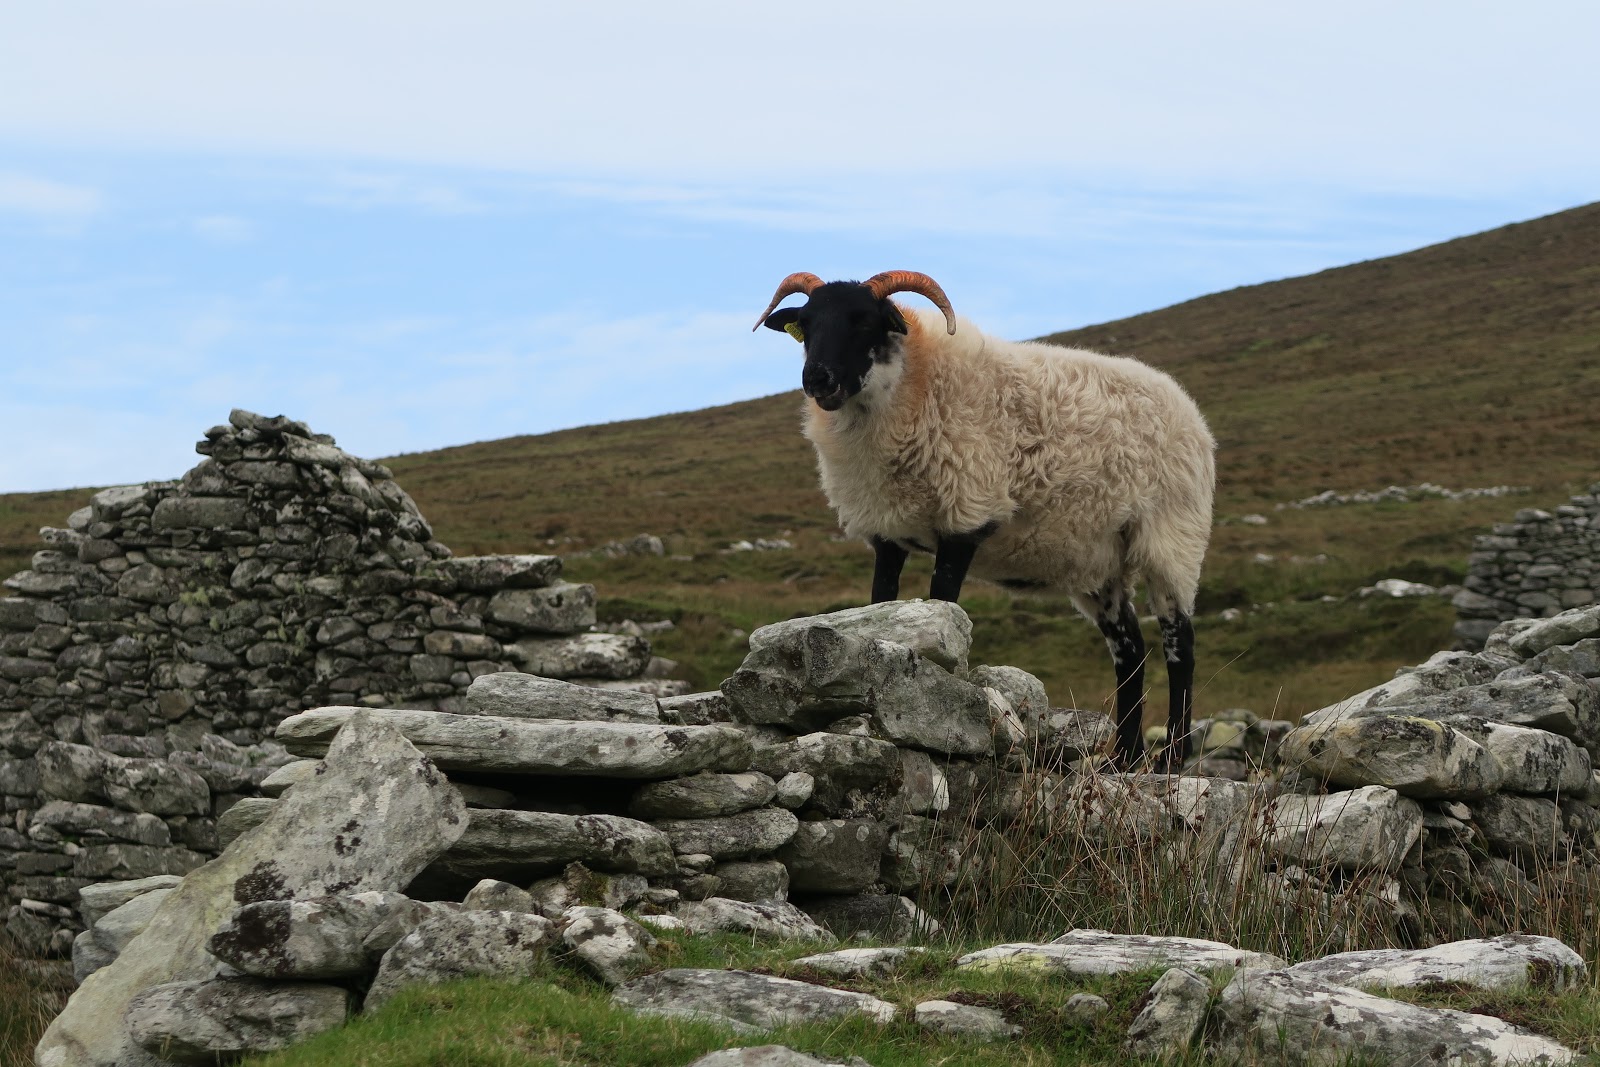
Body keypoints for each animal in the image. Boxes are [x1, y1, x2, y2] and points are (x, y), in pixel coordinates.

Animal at [753, 270, 1216, 769]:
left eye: (865, 321)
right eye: (806, 324)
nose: (818, 379)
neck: (915, 383)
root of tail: (1187, 407)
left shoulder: (966, 515)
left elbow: (943, 604)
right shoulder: (887, 532)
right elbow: (882, 602)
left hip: (1172, 538)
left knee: (1179, 642)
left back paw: (1173, 757)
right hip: (1098, 564)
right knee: (1130, 650)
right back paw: (1125, 759)